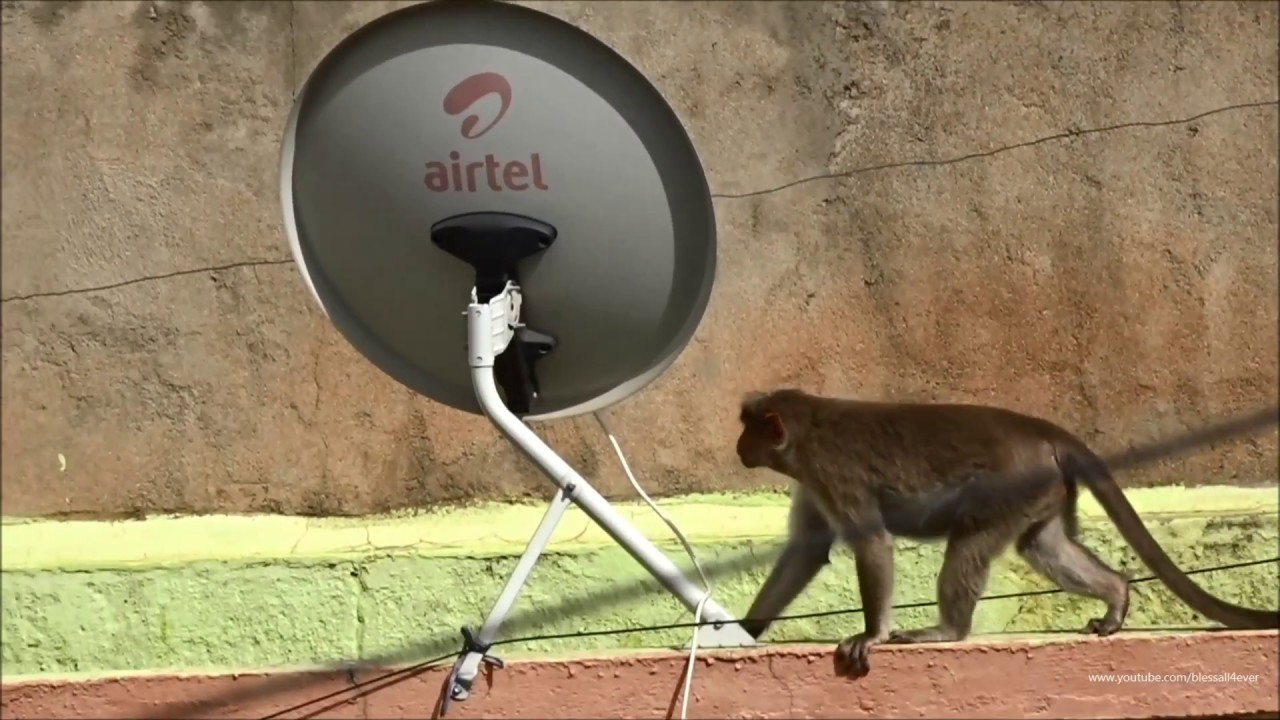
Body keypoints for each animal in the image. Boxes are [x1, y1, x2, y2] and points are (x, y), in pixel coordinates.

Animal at [733, 388, 1279, 680]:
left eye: (748, 428)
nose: (738, 445)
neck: (808, 427)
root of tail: (1041, 431)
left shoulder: (830, 471)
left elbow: (871, 543)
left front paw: (872, 635)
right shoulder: (813, 482)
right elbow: (805, 553)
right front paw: (743, 630)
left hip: (1009, 486)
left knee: (970, 544)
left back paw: (948, 631)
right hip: (1041, 489)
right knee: (1043, 545)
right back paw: (1117, 594)